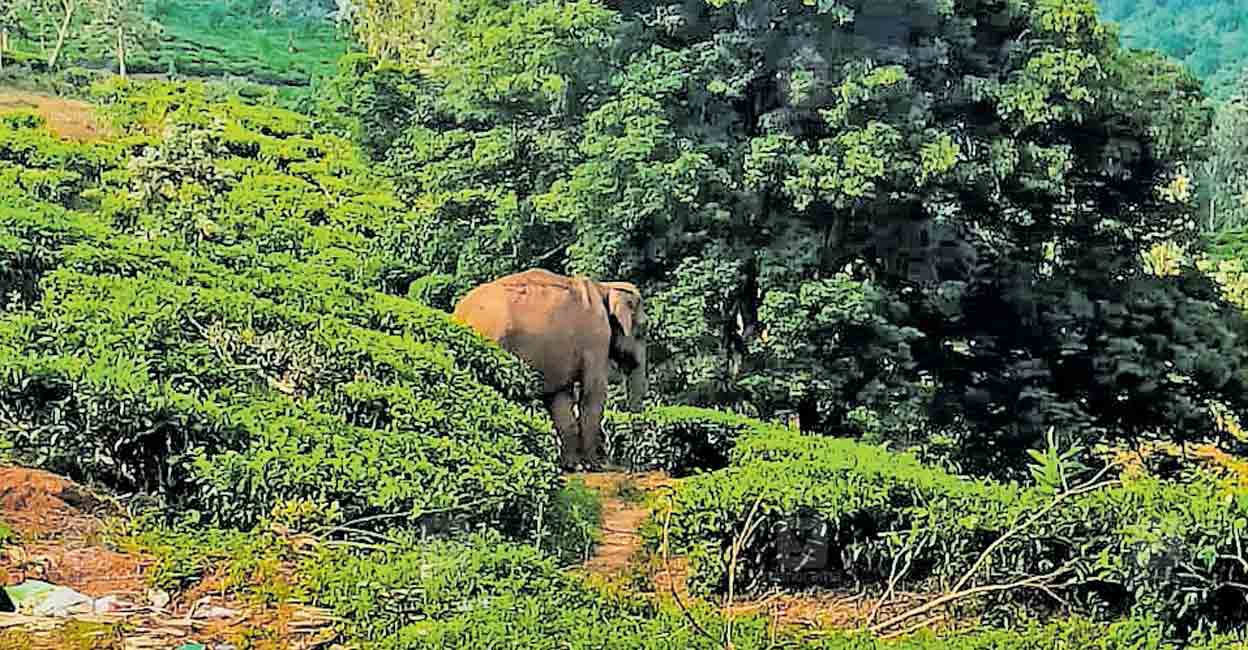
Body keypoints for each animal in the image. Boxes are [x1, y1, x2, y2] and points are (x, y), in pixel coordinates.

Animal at [451, 268, 648, 471]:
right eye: (644, 329)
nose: (629, 467)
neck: (605, 287)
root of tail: (459, 314)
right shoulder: (596, 338)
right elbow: (594, 392)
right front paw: (593, 466)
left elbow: (560, 399)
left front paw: (572, 466)